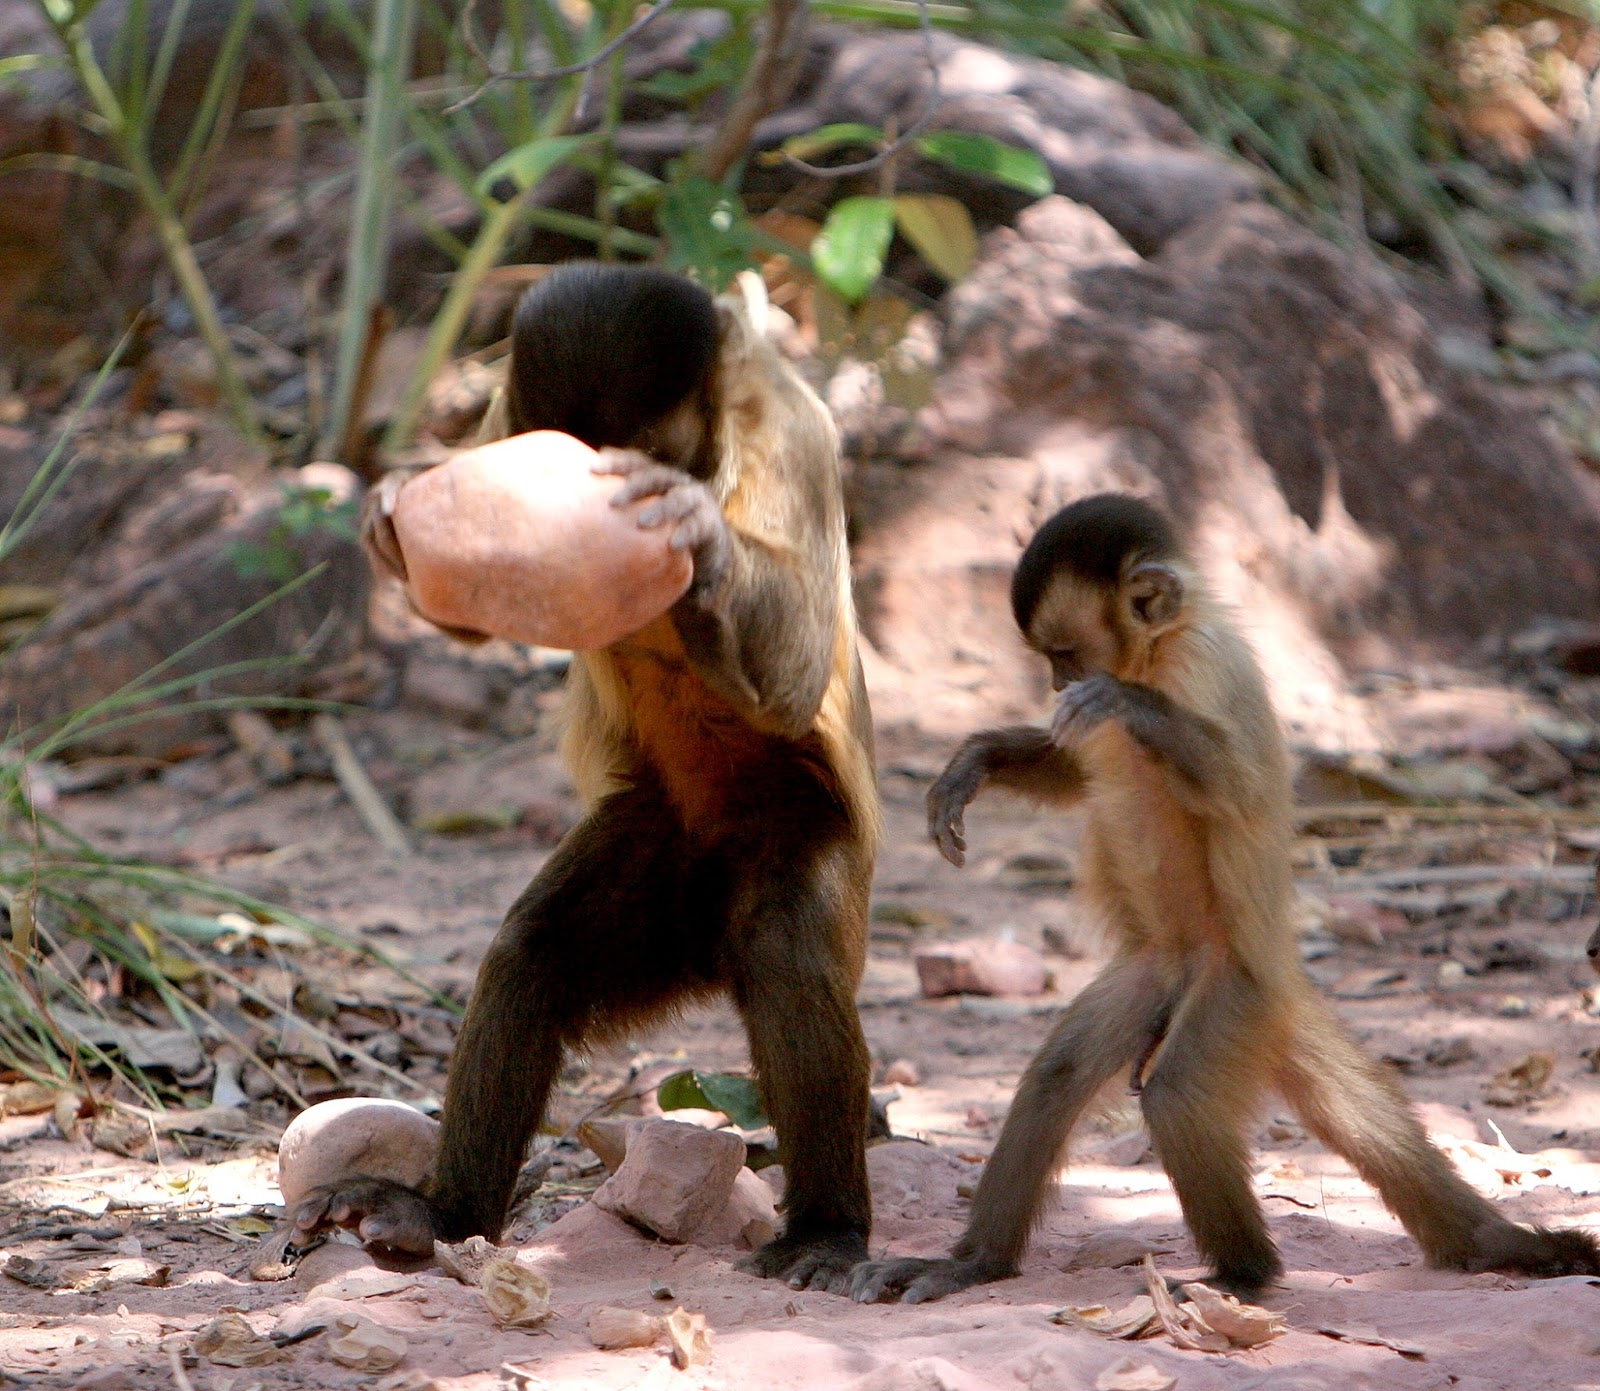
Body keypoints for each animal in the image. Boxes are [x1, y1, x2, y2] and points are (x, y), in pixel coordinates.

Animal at [314, 262, 882, 1293]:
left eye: (635, 453)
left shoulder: (789, 433)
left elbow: (791, 680)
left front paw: (701, 536)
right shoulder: (507, 409)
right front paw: (389, 524)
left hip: (803, 829)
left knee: (786, 949)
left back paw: (827, 1227)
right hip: (667, 857)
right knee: (531, 953)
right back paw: (445, 1213)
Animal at [851, 493, 1600, 1304]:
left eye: (1066, 655)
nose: (1053, 685)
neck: (1157, 651)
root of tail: (1280, 972)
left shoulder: (1202, 664)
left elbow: (1241, 787)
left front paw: (1128, 704)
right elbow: (1080, 769)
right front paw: (976, 762)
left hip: (1237, 990)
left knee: (1177, 1092)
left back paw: (1244, 1274)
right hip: (1153, 974)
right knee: (1057, 1079)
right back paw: (975, 1262)